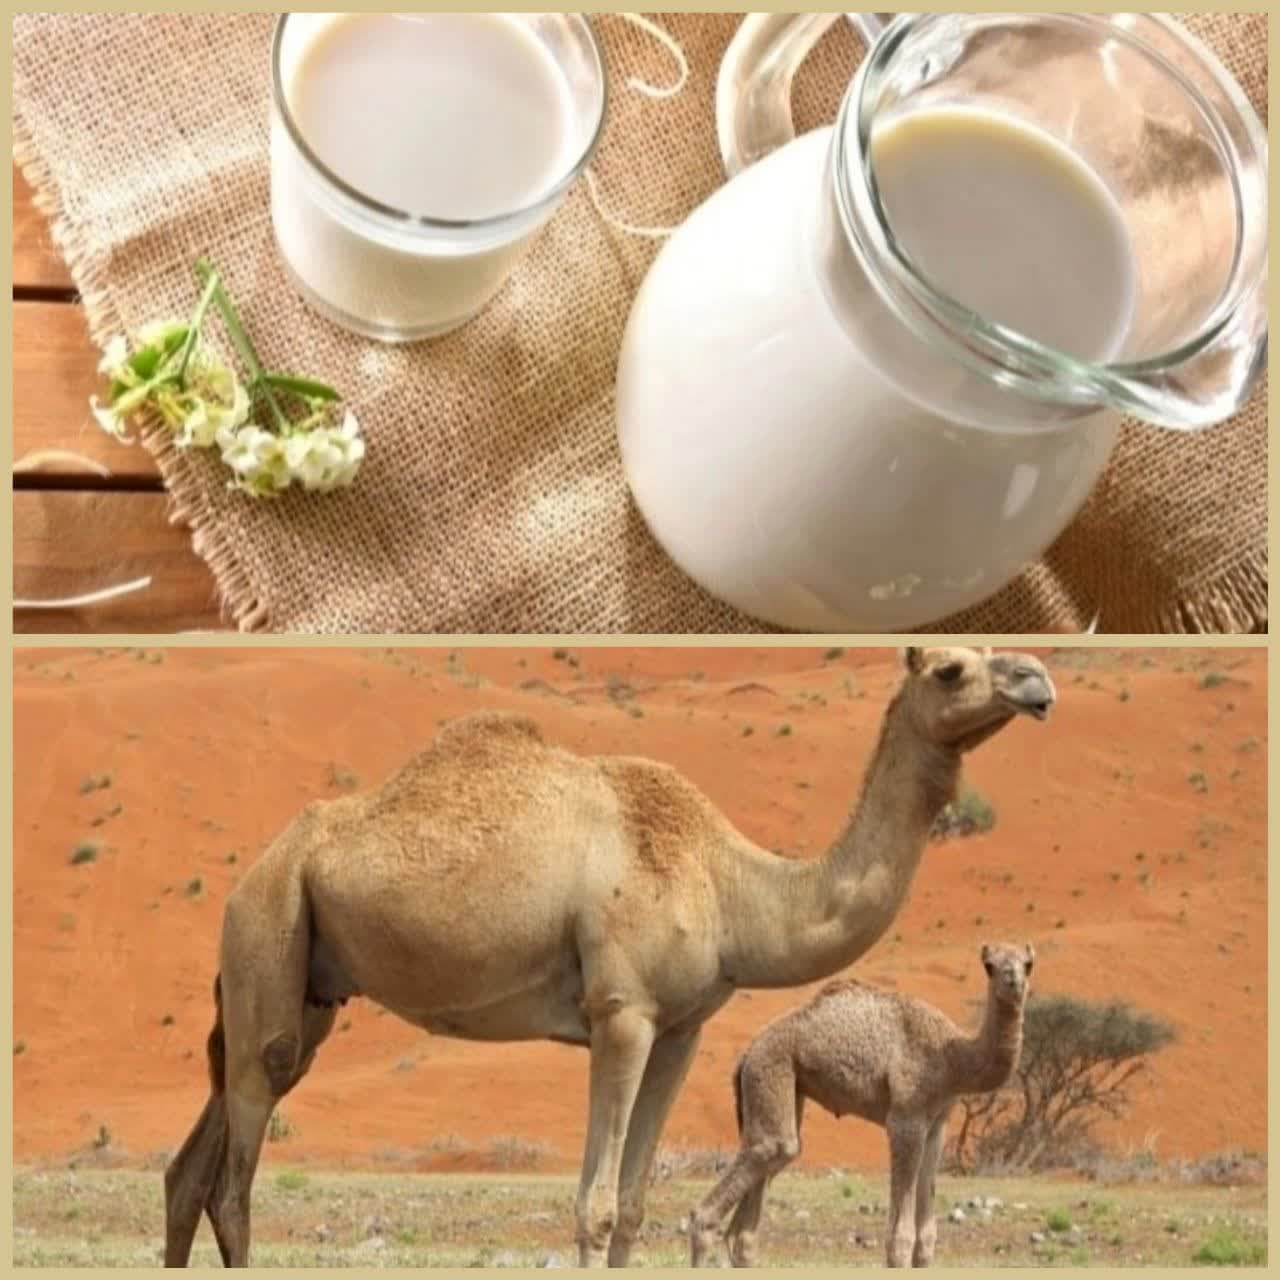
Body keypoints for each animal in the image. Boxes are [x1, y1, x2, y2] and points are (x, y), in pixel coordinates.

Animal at [689, 941, 1035, 1269]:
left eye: (1028, 963)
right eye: (989, 965)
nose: (1013, 981)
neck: (953, 1057)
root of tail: (746, 1055)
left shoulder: (937, 1123)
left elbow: (926, 1239)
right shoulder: (906, 1118)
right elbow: (901, 1238)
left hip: (785, 1084)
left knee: (751, 1215)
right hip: (770, 1068)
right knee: (748, 1173)